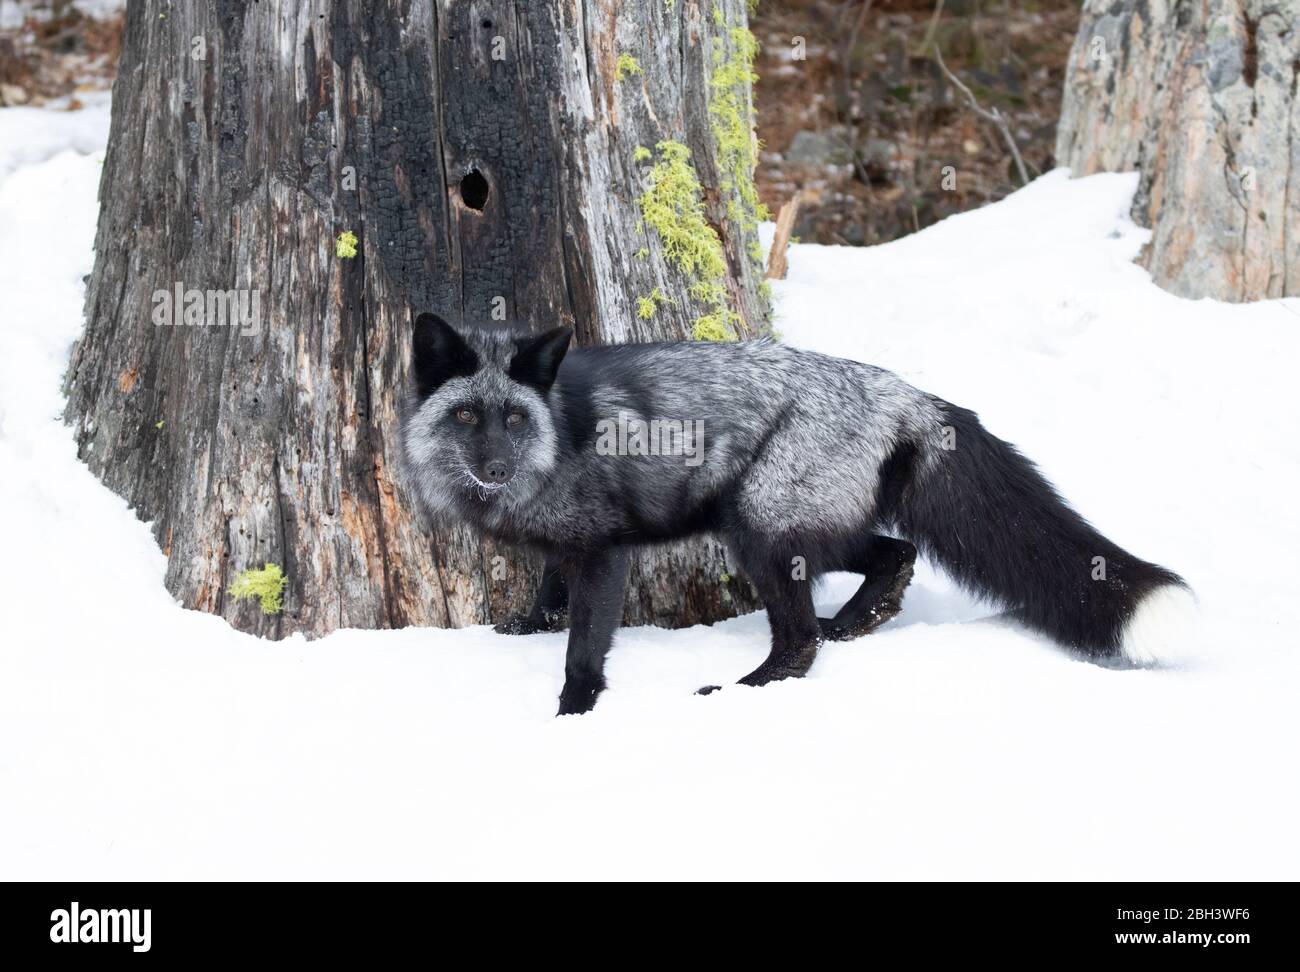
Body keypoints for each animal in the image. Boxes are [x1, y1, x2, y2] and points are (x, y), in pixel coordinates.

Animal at [401, 312, 1195, 715]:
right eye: (467, 415)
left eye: (514, 418)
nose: (496, 469)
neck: (556, 433)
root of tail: (910, 393)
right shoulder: (561, 547)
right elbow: (548, 592)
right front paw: (528, 626)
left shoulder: (602, 550)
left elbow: (584, 647)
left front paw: (573, 712)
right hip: (797, 526)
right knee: (891, 554)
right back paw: (861, 620)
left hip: (758, 530)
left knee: (802, 641)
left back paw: (748, 692)